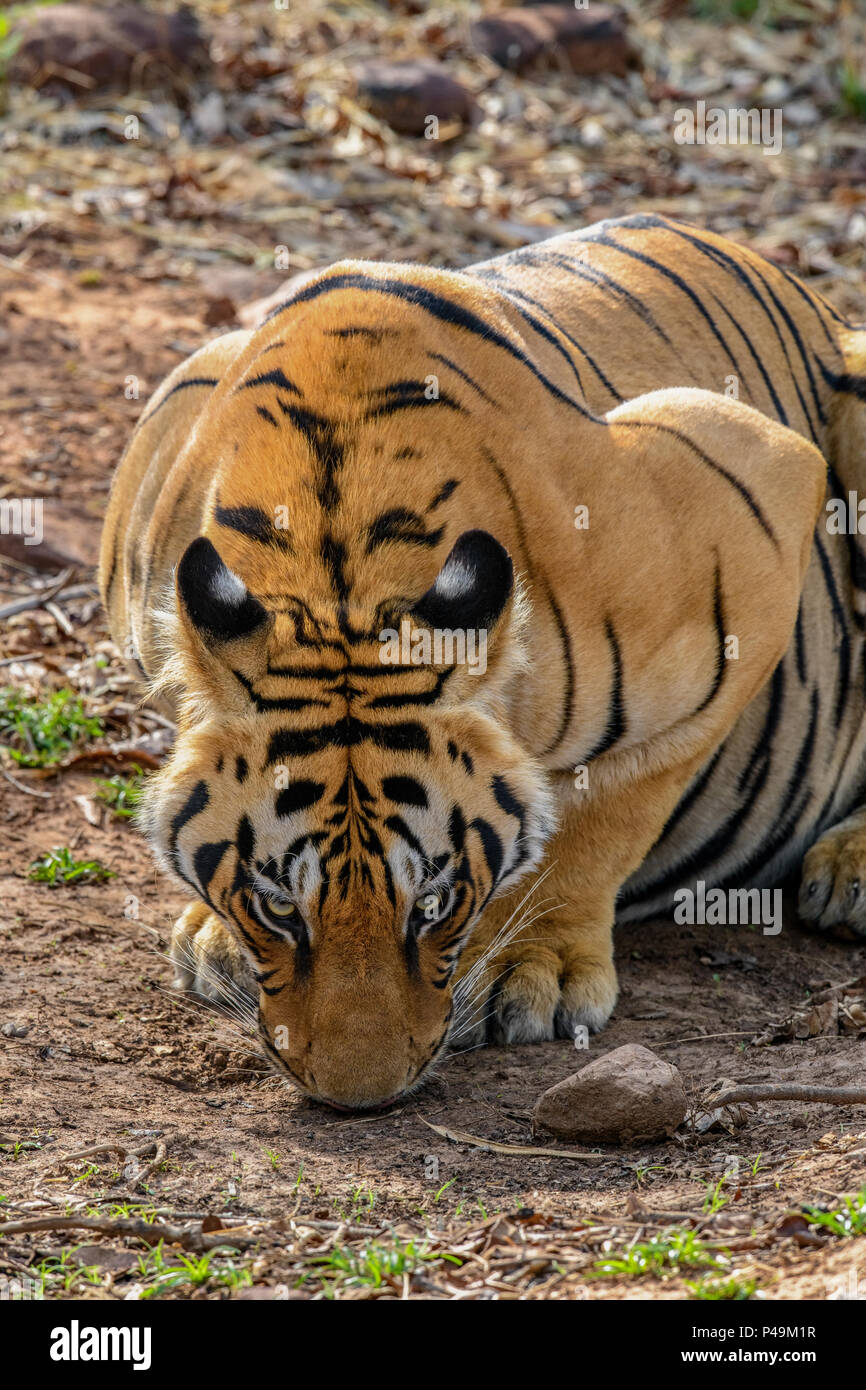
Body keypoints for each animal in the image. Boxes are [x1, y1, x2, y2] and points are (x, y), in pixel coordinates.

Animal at [99, 212, 866, 1111]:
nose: (361, 1098)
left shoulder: (756, 501)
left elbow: (608, 806)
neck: (338, 576)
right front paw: (216, 936)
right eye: (278, 906)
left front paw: (534, 961)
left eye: (432, 904)